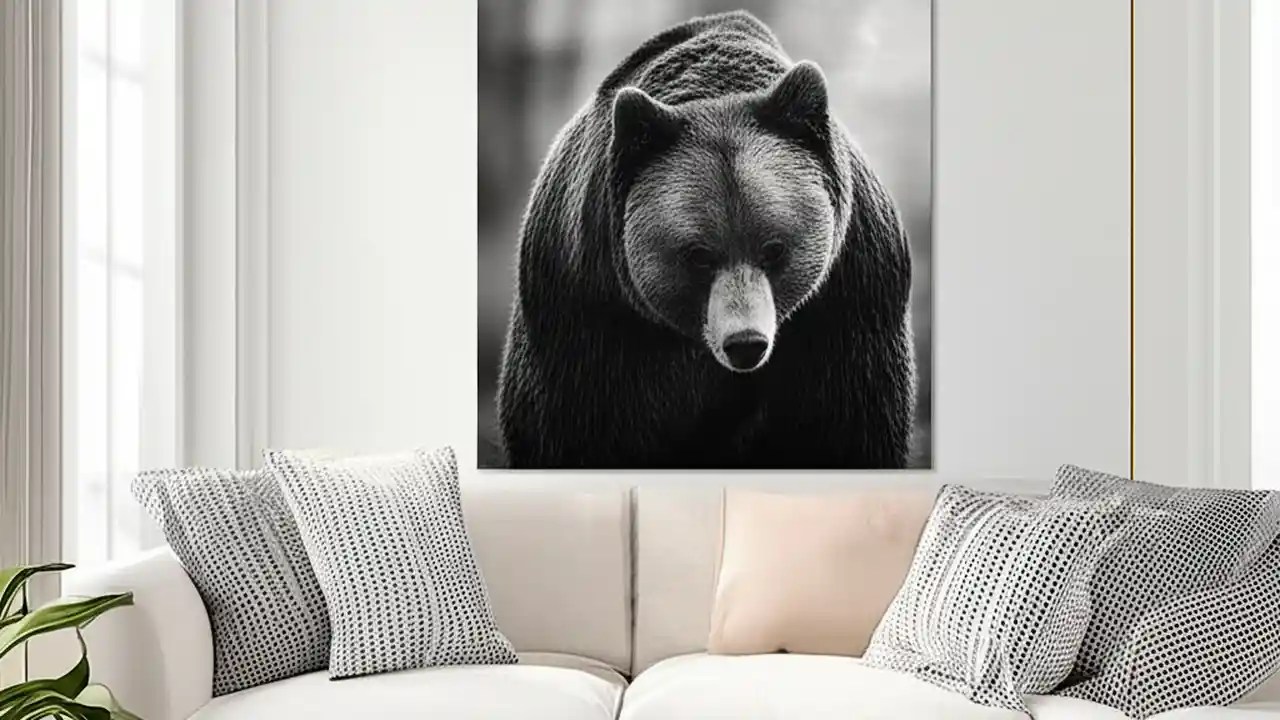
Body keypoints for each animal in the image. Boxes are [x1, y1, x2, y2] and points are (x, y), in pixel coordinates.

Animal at [496, 10, 916, 469]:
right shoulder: (590, 309)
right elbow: (577, 428)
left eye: (774, 249)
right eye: (698, 254)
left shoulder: (850, 299)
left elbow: (845, 425)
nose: (746, 344)